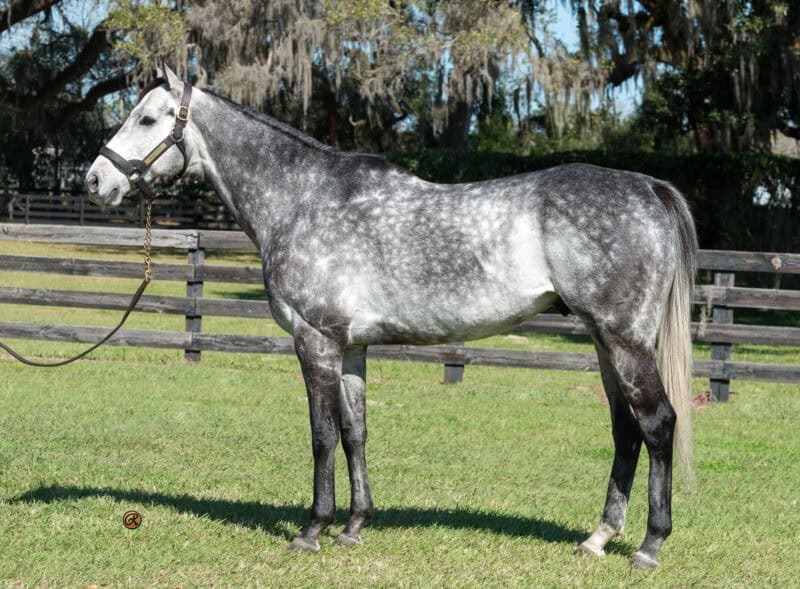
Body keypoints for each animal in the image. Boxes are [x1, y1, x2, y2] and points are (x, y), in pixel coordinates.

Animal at [85, 66, 697, 569]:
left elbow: (321, 435)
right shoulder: (352, 347)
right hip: (603, 342)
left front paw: (312, 530)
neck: (301, 199)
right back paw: (598, 538)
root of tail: (649, 187)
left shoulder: (316, 340)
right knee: (625, 430)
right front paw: (355, 526)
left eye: (146, 117)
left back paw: (649, 546)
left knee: (657, 423)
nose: (95, 180)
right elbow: (355, 432)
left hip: (624, 341)